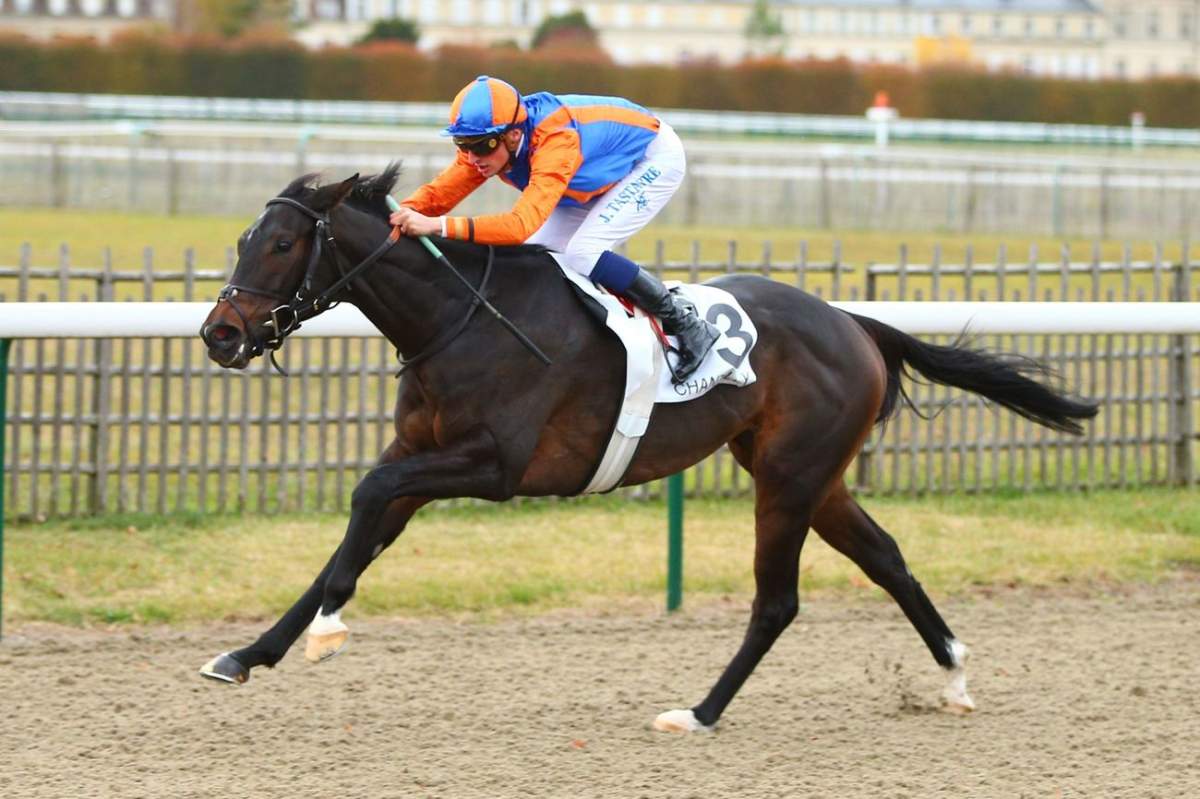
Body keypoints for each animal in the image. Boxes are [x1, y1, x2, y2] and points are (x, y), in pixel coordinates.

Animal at [198, 166, 1098, 732]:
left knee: (777, 601)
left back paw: (698, 712)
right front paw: (248, 651)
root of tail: (853, 322)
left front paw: (328, 626)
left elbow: (364, 497)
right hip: (813, 476)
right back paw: (954, 675)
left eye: (281, 245)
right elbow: (359, 524)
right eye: (242, 237)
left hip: (789, 478)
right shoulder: (423, 458)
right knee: (889, 559)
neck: (460, 319)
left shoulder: (496, 467)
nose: (219, 334)